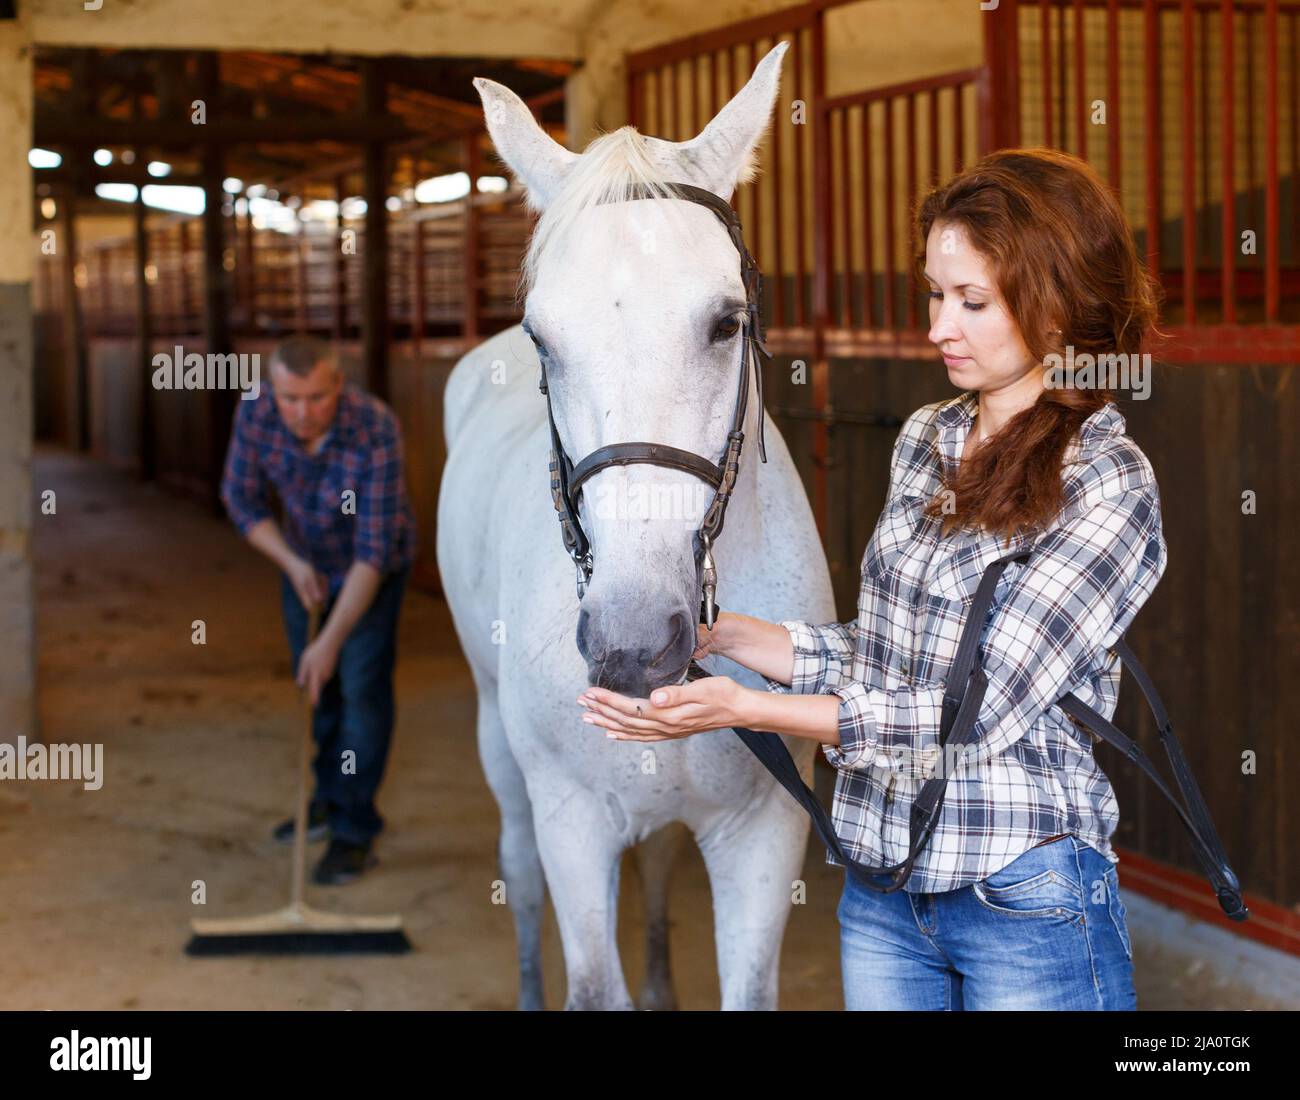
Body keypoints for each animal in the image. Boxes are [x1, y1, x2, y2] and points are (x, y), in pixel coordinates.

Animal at [436, 41, 835, 1010]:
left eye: (726, 322)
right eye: (542, 339)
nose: (633, 640)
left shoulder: (766, 829)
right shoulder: (573, 823)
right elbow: (589, 982)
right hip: (501, 747)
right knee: (519, 871)